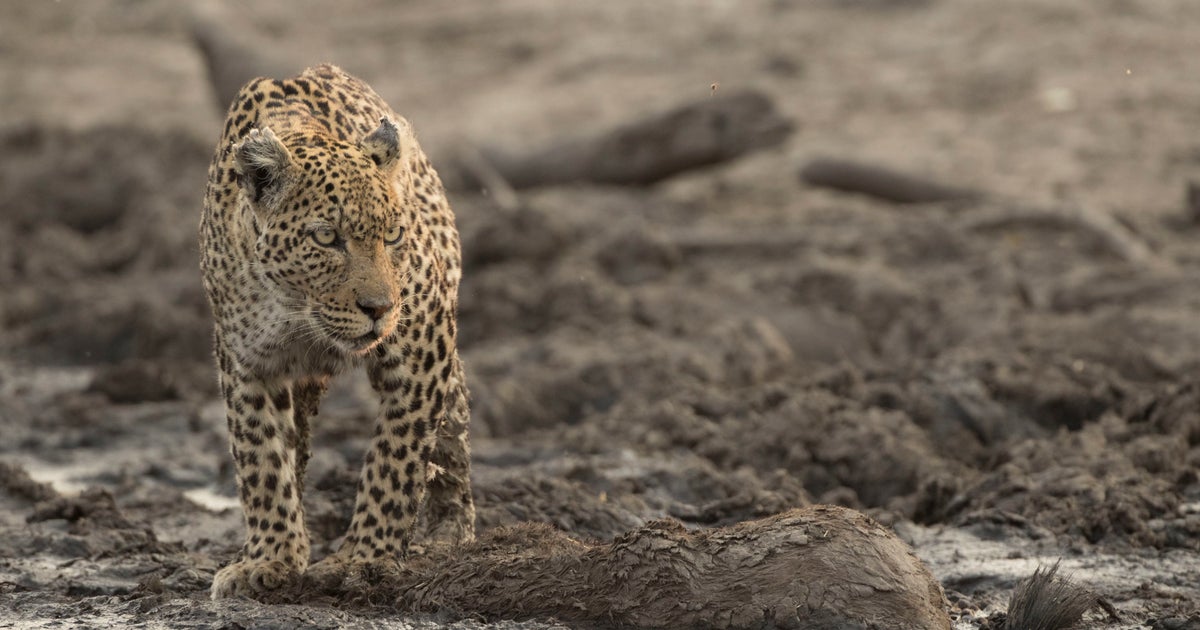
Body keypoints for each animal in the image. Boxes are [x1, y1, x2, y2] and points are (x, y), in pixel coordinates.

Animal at [199, 64, 475, 599]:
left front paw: (363, 559)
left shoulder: (421, 343)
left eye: (393, 235)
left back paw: (450, 533)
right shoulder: (245, 361)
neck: (296, 308)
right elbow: (261, 458)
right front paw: (270, 557)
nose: (380, 308)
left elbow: (396, 456)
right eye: (327, 237)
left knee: (451, 435)